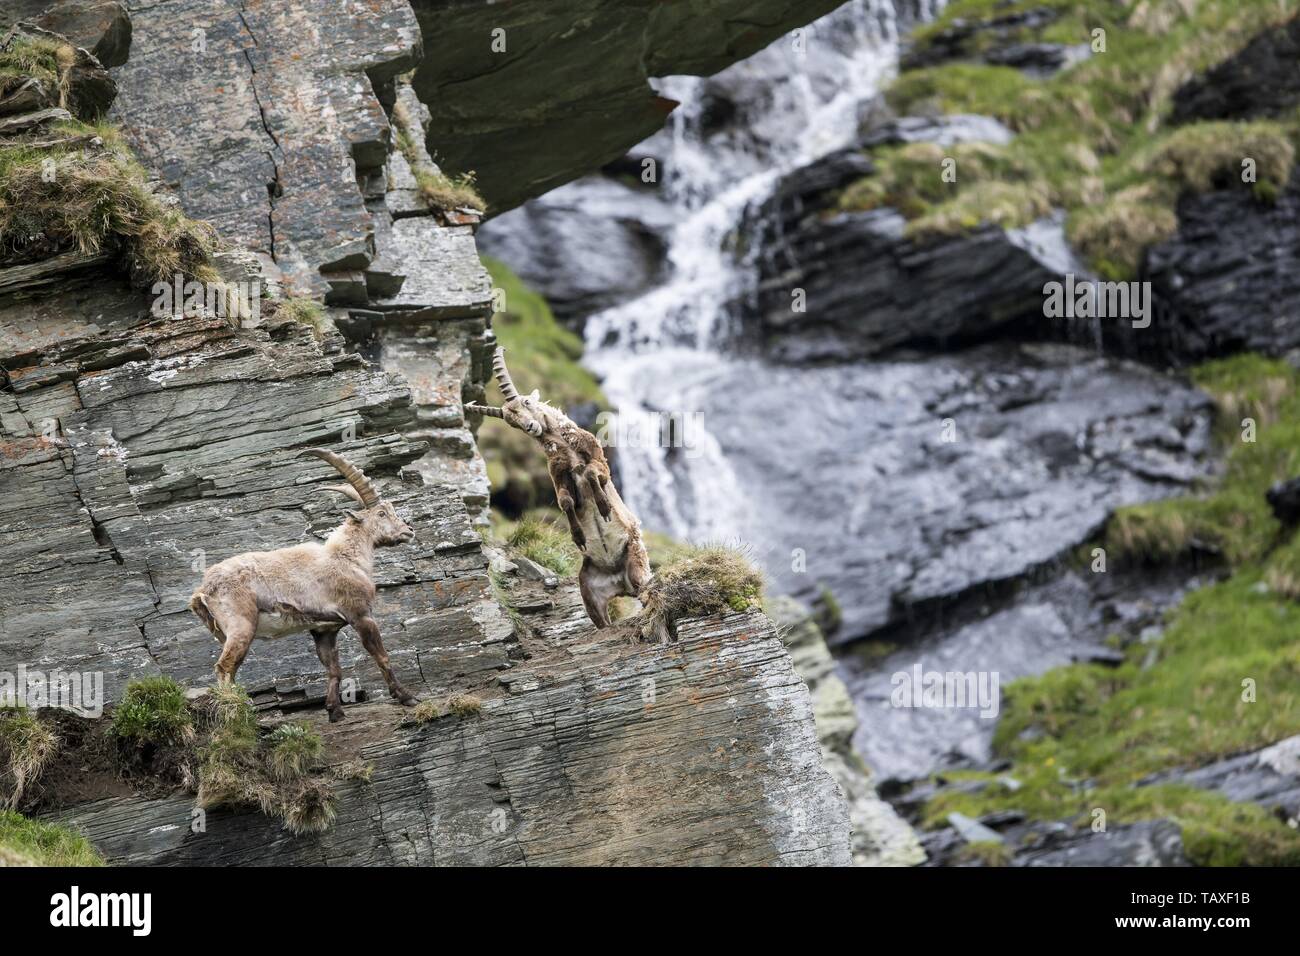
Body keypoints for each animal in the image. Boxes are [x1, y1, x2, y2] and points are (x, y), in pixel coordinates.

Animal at [189, 448, 419, 721]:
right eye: (381, 513)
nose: (409, 529)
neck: (345, 557)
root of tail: (203, 590)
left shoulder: (324, 629)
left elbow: (334, 669)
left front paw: (335, 712)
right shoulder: (360, 615)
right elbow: (382, 656)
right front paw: (406, 697)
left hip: (225, 633)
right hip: (241, 626)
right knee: (224, 667)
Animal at [468, 347, 652, 627]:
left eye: (526, 403)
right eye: (511, 421)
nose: (531, 426)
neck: (566, 448)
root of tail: (619, 582)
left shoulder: (600, 463)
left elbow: (591, 473)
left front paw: (604, 507)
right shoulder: (560, 478)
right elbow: (566, 501)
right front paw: (579, 536)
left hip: (638, 568)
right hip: (589, 593)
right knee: (603, 621)